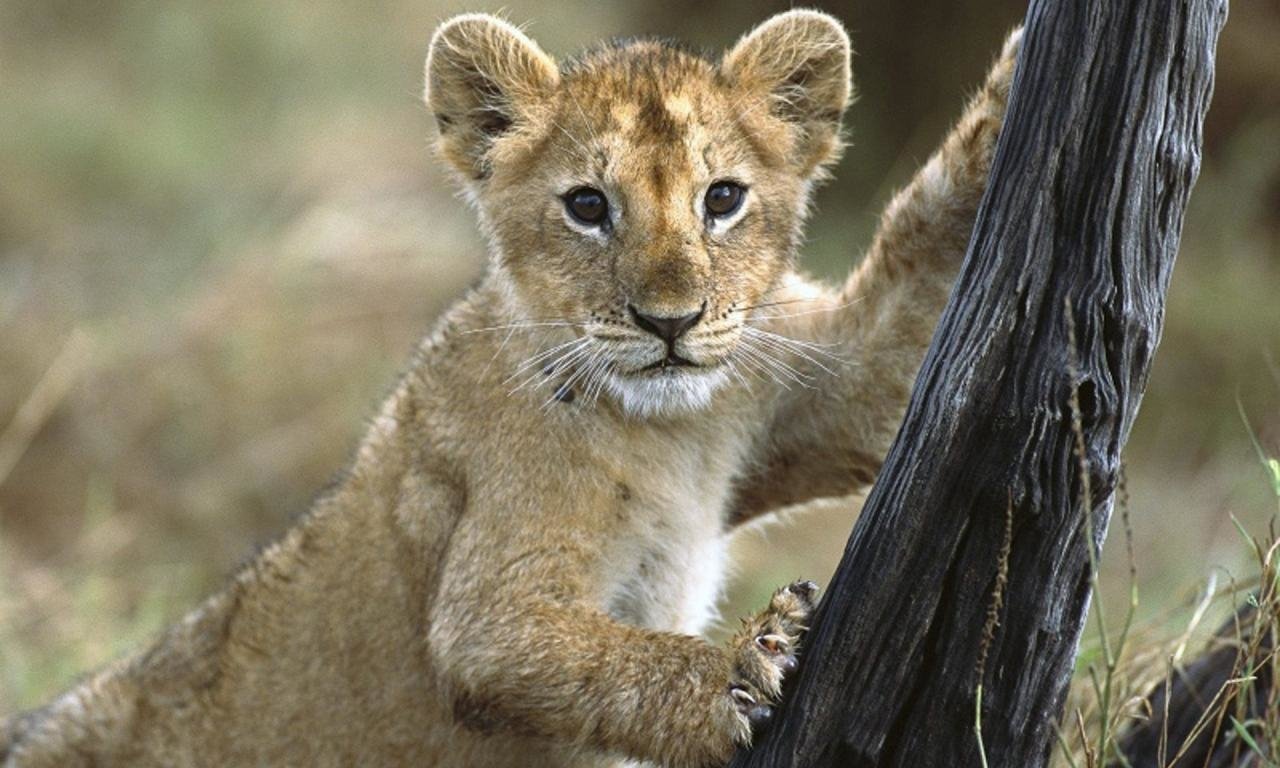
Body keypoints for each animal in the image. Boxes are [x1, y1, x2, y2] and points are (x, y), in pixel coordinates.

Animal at [1, 10, 1021, 767]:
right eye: (588, 206)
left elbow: (904, 315)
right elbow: (591, 653)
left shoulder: (815, 389)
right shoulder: (487, 603)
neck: (667, 431)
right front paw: (746, 663)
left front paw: (1014, 88)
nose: (671, 322)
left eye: (723, 199)